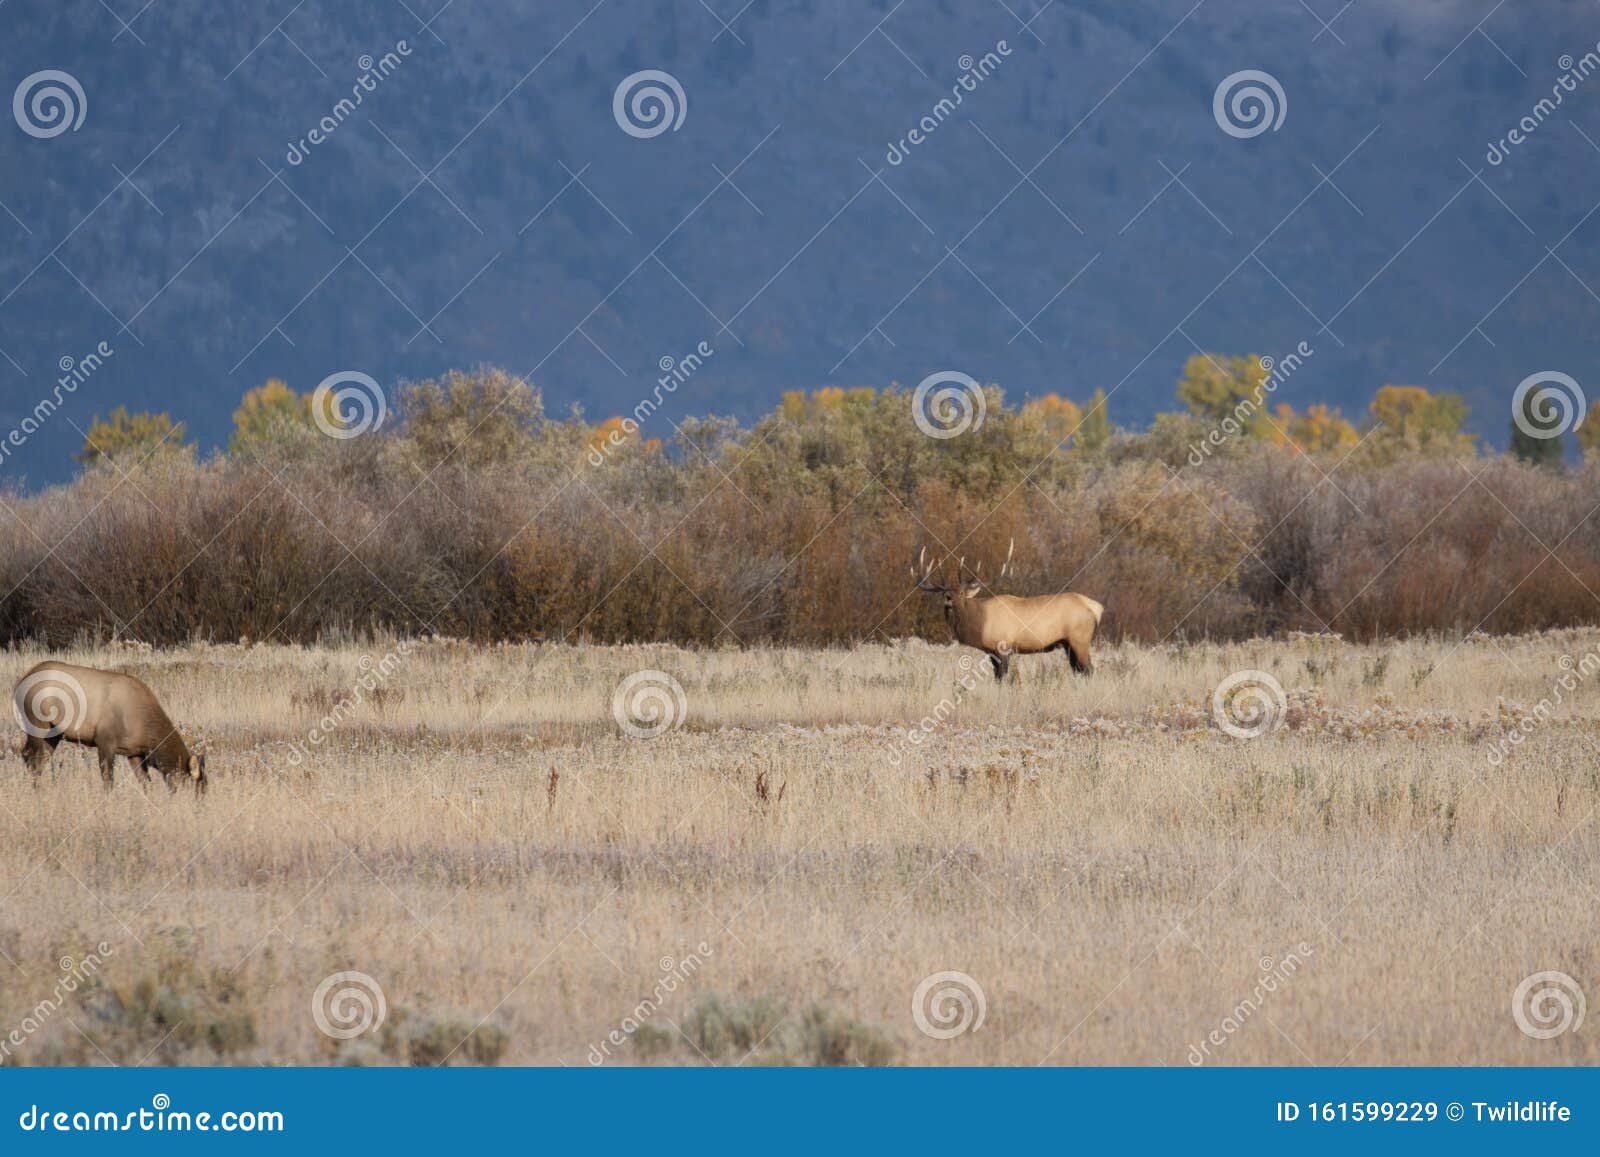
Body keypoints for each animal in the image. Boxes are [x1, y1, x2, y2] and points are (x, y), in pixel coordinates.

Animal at [913, 539, 1104, 682]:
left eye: (960, 593)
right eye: (943, 592)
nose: (948, 598)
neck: (980, 623)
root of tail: (1096, 608)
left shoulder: (1003, 646)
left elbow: (1004, 677)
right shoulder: (990, 651)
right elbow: (997, 677)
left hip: (1080, 638)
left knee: (1089, 669)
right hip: (1068, 643)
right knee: (1079, 670)